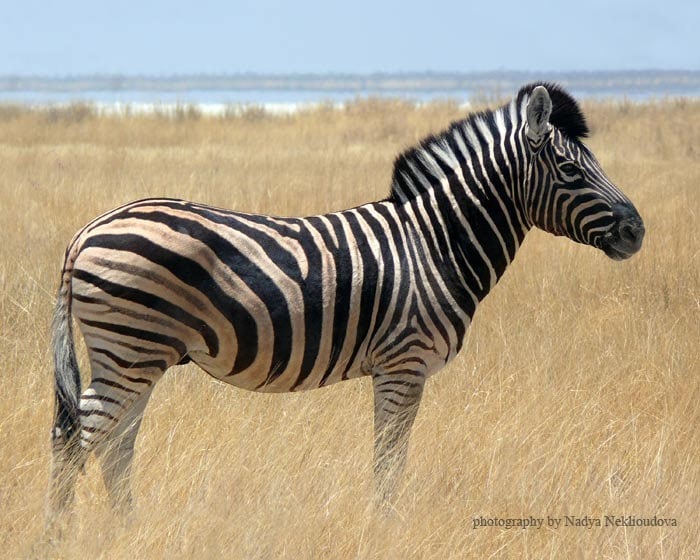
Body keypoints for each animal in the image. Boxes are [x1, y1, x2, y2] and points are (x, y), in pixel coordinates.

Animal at [48, 83, 644, 516]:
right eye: (570, 169)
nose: (637, 230)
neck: (436, 242)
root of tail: (85, 232)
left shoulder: (397, 367)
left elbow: (387, 457)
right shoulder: (405, 362)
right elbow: (389, 460)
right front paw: (384, 526)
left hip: (137, 356)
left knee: (112, 446)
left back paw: (128, 528)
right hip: (130, 349)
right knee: (76, 440)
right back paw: (61, 534)